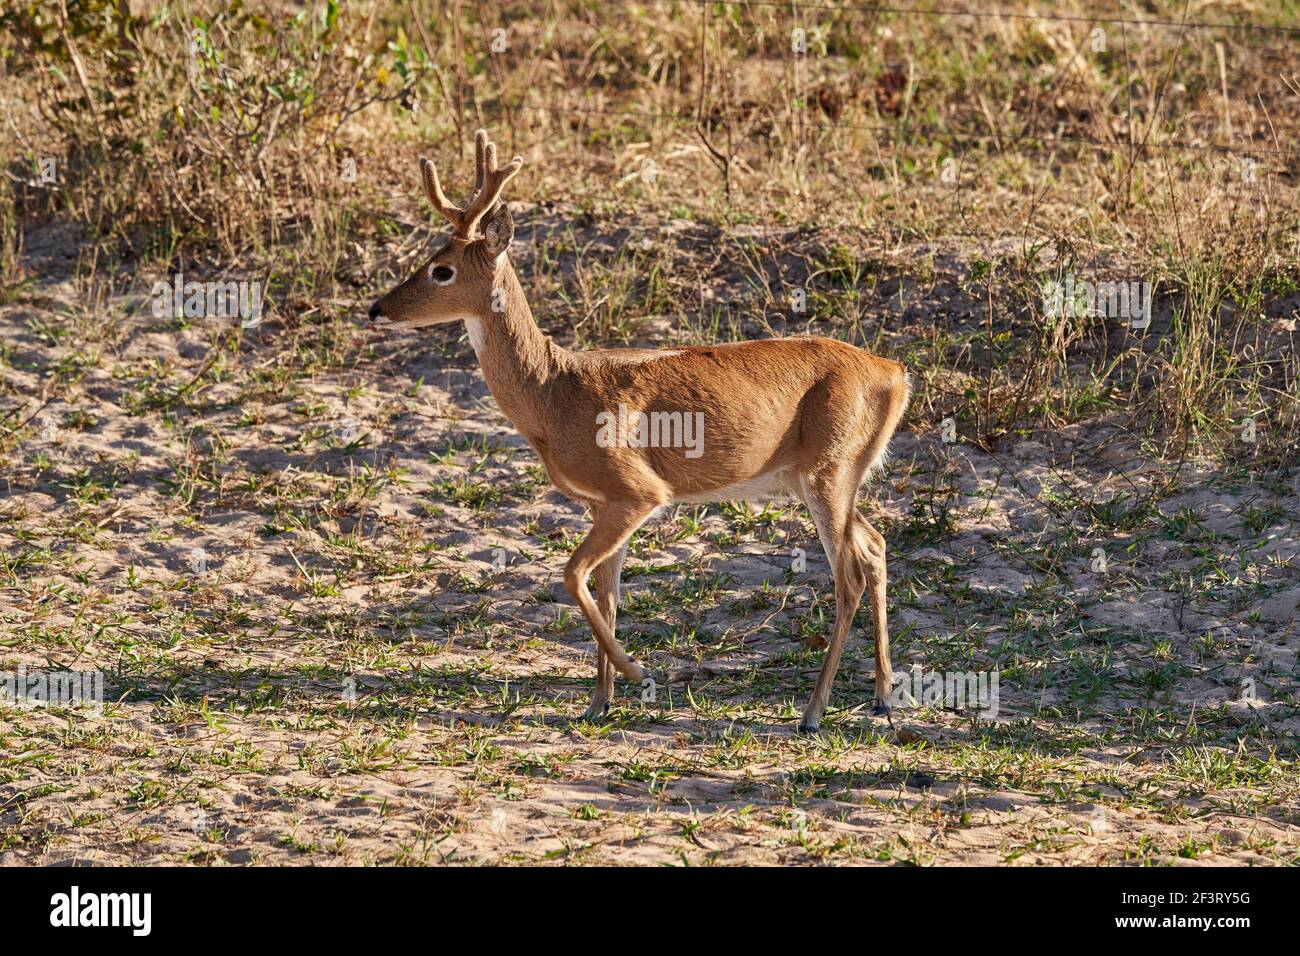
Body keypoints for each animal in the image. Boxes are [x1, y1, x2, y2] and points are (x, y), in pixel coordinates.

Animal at [368, 131, 911, 734]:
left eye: (441, 268)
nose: (376, 308)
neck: (554, 392)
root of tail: (894, 372)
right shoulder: (601, 501)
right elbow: (606, 591)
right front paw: (598, 701)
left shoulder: (640, 490)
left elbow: (572, 574)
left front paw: (637, 672)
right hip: (821, 476)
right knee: (876, 548)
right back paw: (883, 696)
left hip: (827, 472)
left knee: (850, 576)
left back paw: (814, 712)